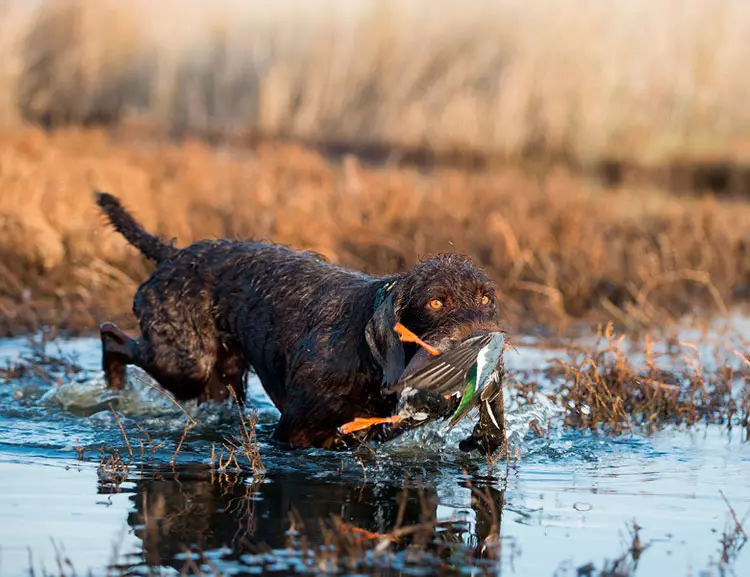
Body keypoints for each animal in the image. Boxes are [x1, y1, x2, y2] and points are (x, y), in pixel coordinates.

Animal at [94, 192, 506, 450]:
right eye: (435, 302)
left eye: (486, 298)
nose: (484, 342)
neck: (367, 354)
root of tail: (173, 254)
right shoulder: (294, 431)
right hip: (185, 363)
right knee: (110, 335)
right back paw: (114, 388)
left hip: (221, 378)